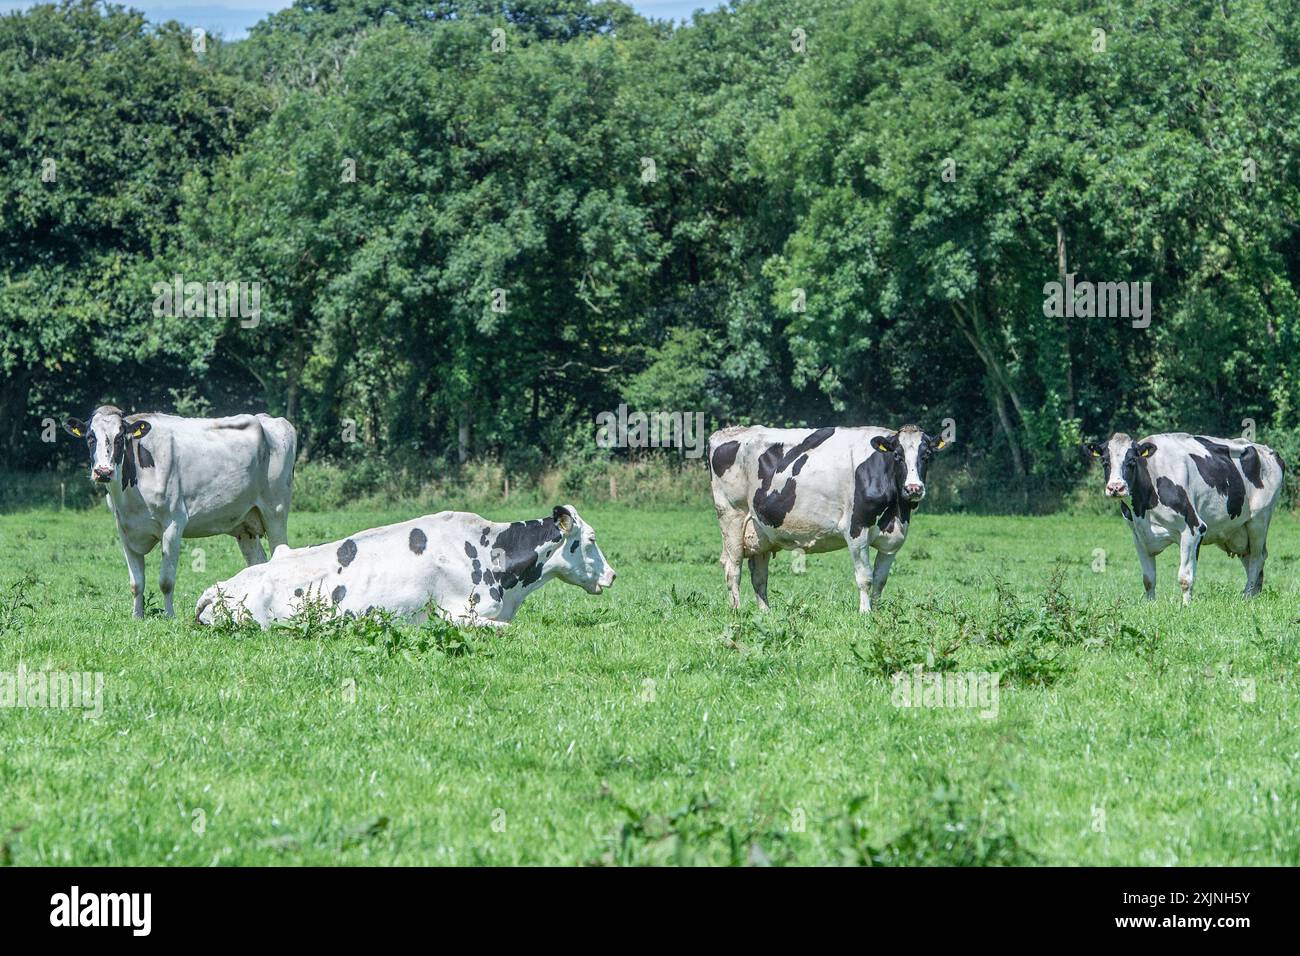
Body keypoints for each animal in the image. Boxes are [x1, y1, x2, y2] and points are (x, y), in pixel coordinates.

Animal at [64, 405, 296, 618]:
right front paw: (137, 616)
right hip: (244, 524)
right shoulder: (125, 530)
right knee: (257, 562)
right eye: (90, 438)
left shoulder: (173, 524)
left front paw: (170, 616)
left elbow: (166, 581)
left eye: (120, 437)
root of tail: (268, 419)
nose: (103, 472)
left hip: (275, 511)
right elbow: (136, 583)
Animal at [708, 424, 950, 612]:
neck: (896, 511)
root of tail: (727, 432)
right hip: (731, 516)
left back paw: (766, 612)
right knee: (732, 567)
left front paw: (877, 612)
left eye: (926, 456)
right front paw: (865, 612)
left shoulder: (893, 540)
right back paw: (737, 610)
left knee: (759, 575)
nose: (913, 488)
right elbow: (865, 577)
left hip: (760, 530)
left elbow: (880, 579)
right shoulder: (856, 529)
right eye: (898, 456)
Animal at [1085, 432, 1284, 604]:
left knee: (1258, 558)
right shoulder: (1139, 535)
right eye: (1104, 462)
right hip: (1237, 532)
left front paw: (1186, 606)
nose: (1116, 488)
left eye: (1132, 461)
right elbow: (1148, 579)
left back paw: (1247, 596)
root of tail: (1268, 451)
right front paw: (1150, 604)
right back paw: (1253, 595)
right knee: (1249, 559)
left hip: (1258, 522)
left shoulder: (1194, 528)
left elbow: (1185, 577)